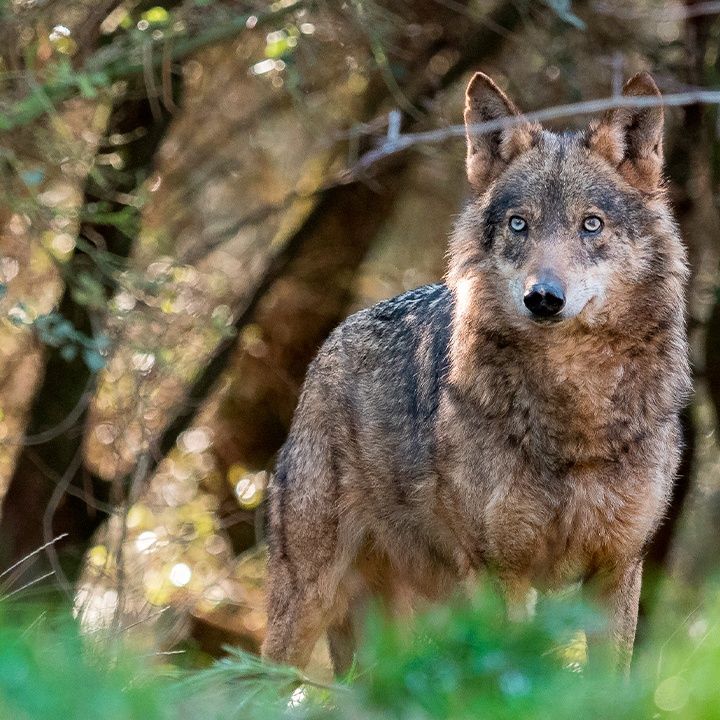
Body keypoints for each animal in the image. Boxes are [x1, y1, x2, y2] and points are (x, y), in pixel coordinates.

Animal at [261, 71, 690, 675]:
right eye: (519, 224)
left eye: (591, 225)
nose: (543, 298)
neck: (574, 418)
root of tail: (334, 338)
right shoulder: (499, 572)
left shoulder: (617, 569)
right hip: (310, 599)